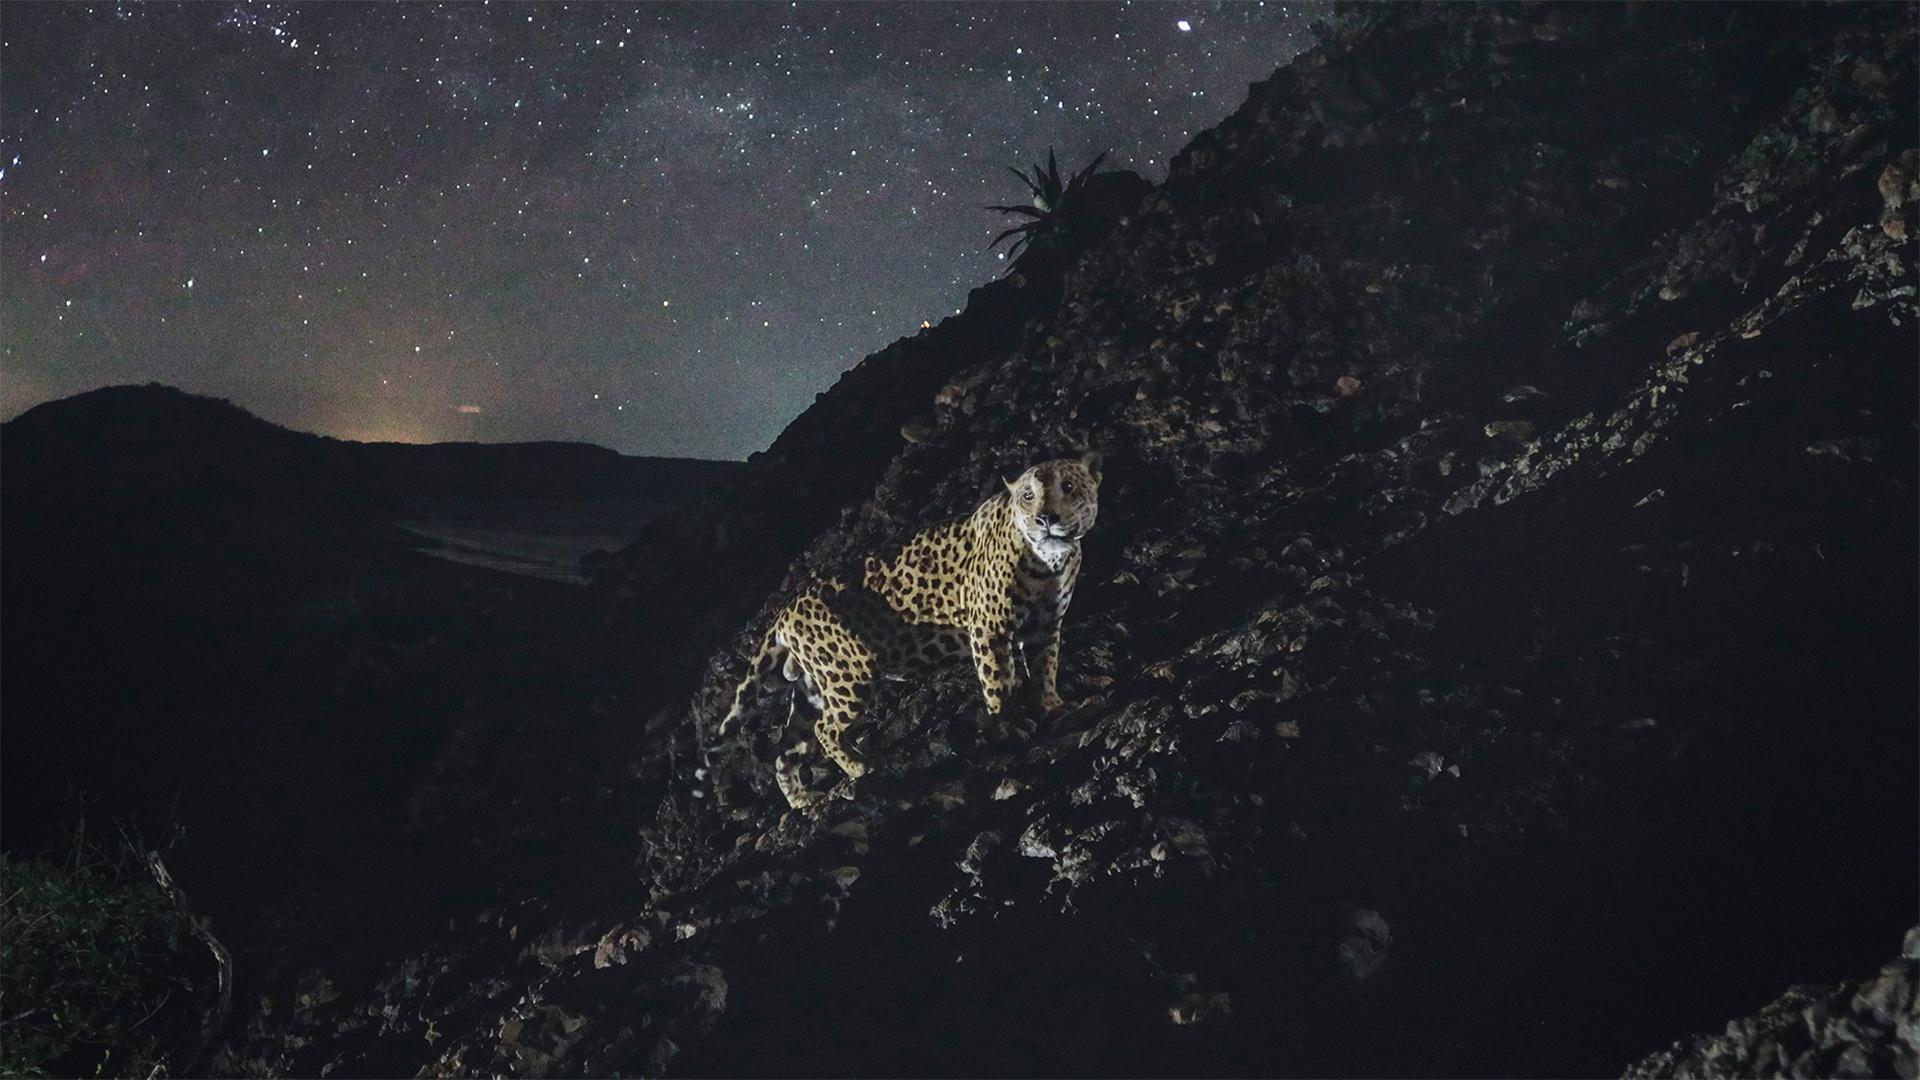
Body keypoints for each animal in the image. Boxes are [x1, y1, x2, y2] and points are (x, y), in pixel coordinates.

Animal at [707, 452, 1102, 810]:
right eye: (1028, 495)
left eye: (1068, 487)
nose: (1045, 519)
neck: (1049, 563)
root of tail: (784, 613)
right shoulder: (989, 629)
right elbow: (999, 683)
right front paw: (1009, 726)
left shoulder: (1045, 627)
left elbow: (1045, 669)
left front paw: (1052, 707)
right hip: (849, 675)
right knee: (825, 729)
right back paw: (860, 767)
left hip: (812, 688)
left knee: (786, 750)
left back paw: (802, 798)